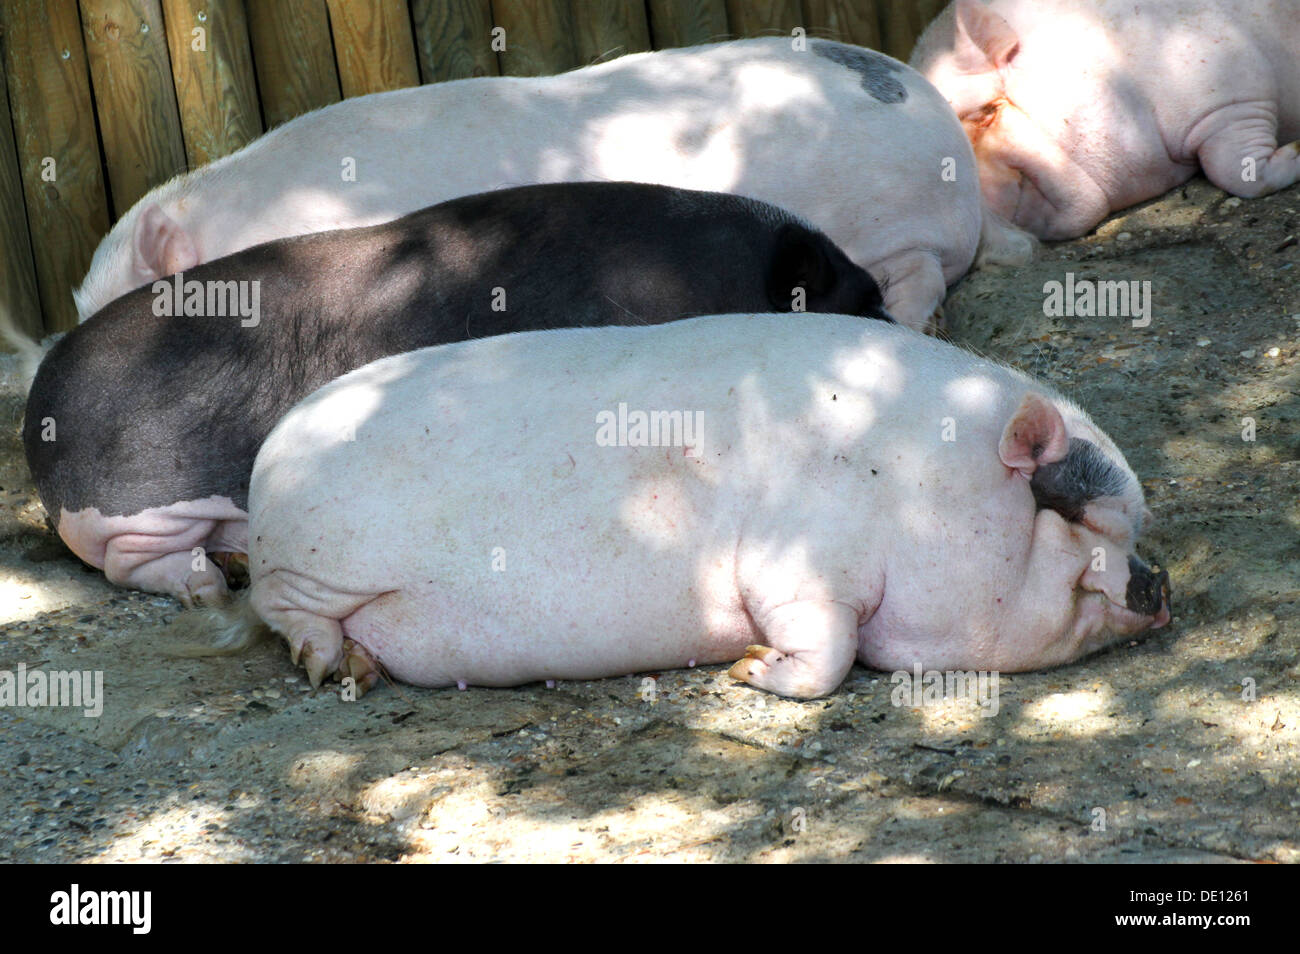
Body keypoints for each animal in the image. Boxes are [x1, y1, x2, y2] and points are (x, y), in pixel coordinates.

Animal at [228, 317, 1175, 696]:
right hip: (305, 568)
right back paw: (337, 671)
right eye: (1068, 511)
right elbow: (825, 652)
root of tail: (267, 461)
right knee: (287, 615)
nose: (1158, 584)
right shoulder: (796, 561)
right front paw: (747, 669)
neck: (917, 484)